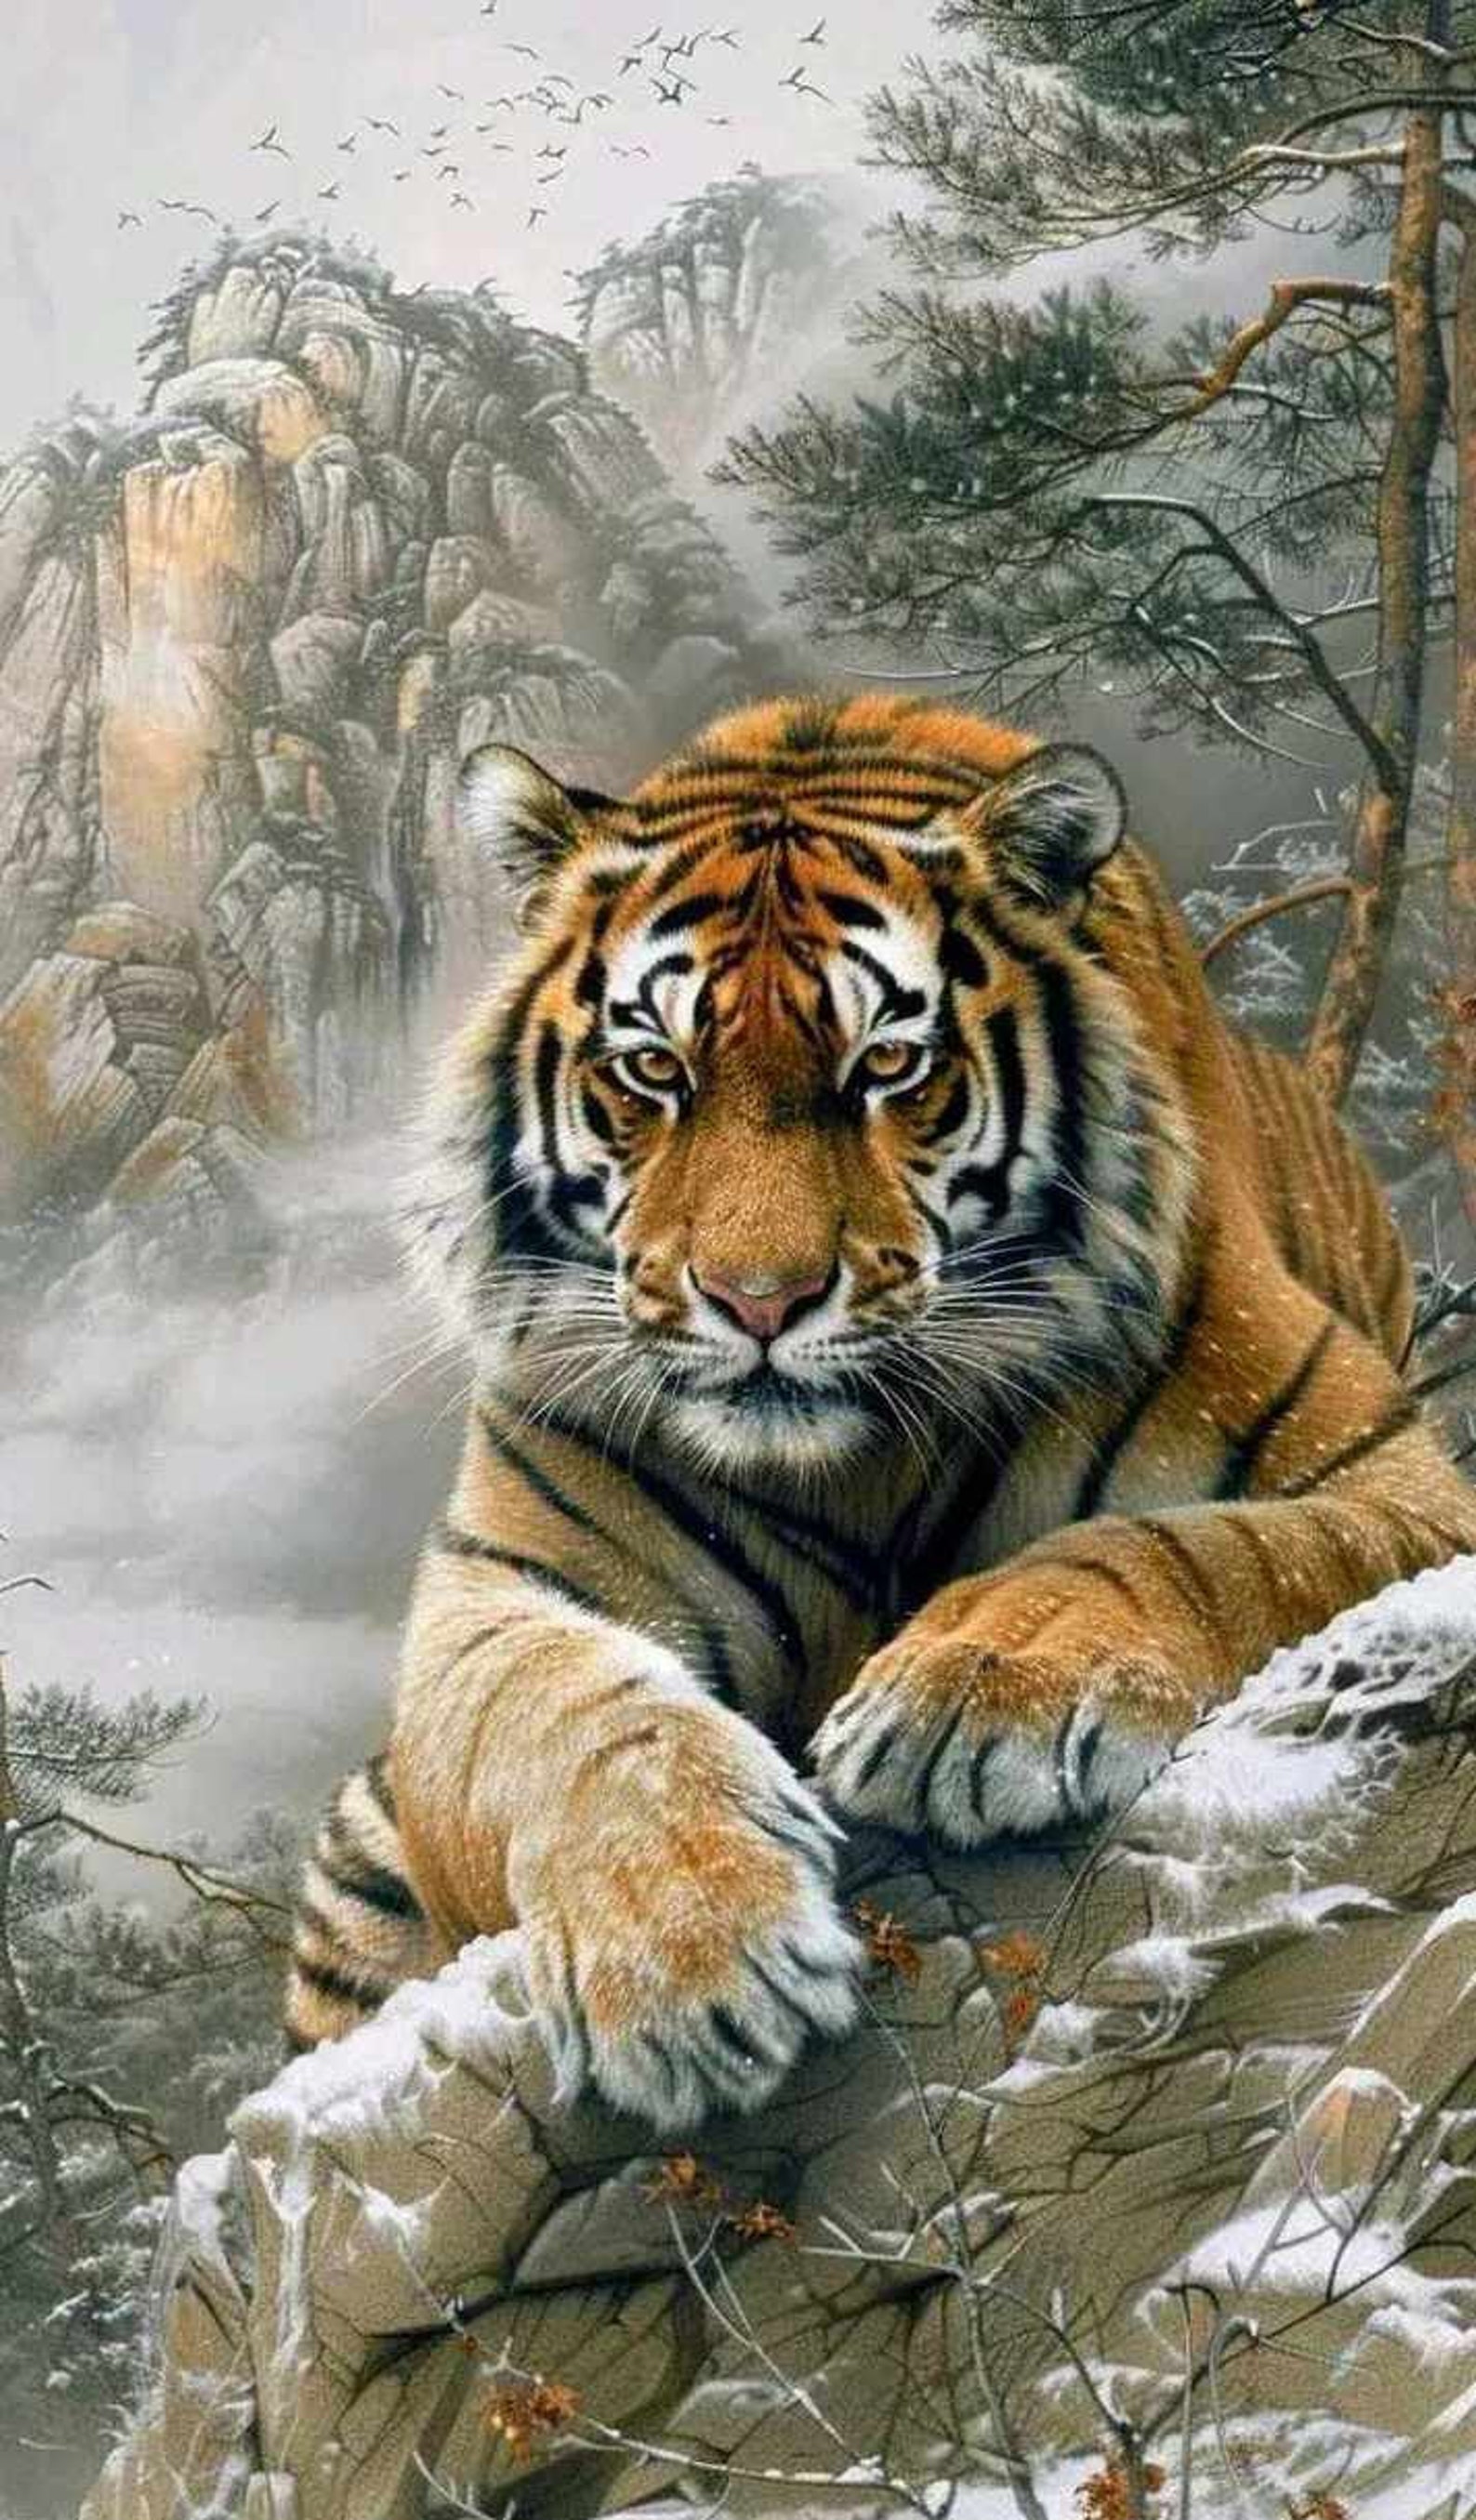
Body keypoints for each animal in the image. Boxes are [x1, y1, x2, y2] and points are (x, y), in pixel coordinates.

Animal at [284, 691, 1476, 2130]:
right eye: (654, 1068)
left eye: (888, 1063)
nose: (759, 1297)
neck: (851, 1464)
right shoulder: (499, 1587)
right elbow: (575, 1713)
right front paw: (688, 1957)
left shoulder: (1390, 1479)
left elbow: (1191, 1545)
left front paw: (977, 1684)